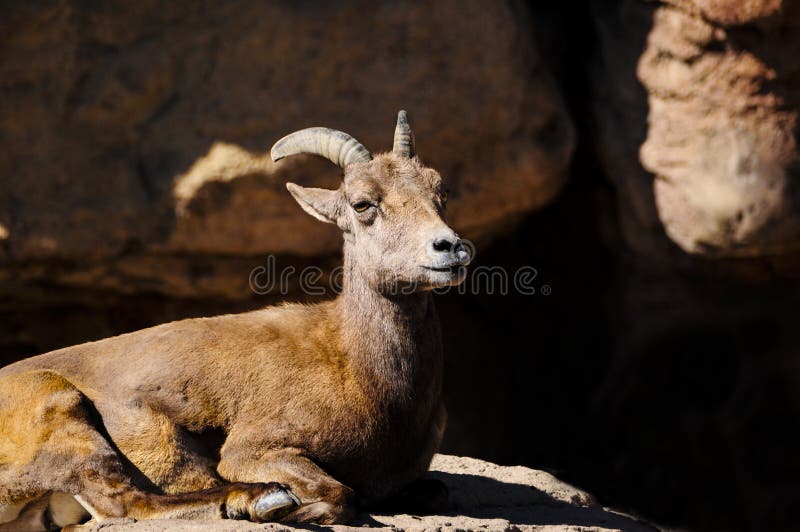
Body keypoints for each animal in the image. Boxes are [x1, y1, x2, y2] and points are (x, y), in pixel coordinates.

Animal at [0, 110, 471, 530]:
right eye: (362, 204)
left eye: (441, 191)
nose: (449, 248)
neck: (362, 372)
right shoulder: (254, 451)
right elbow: (341, 495)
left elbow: (435, 493)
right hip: (64, 410)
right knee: (127, 503)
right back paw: (262, 500)